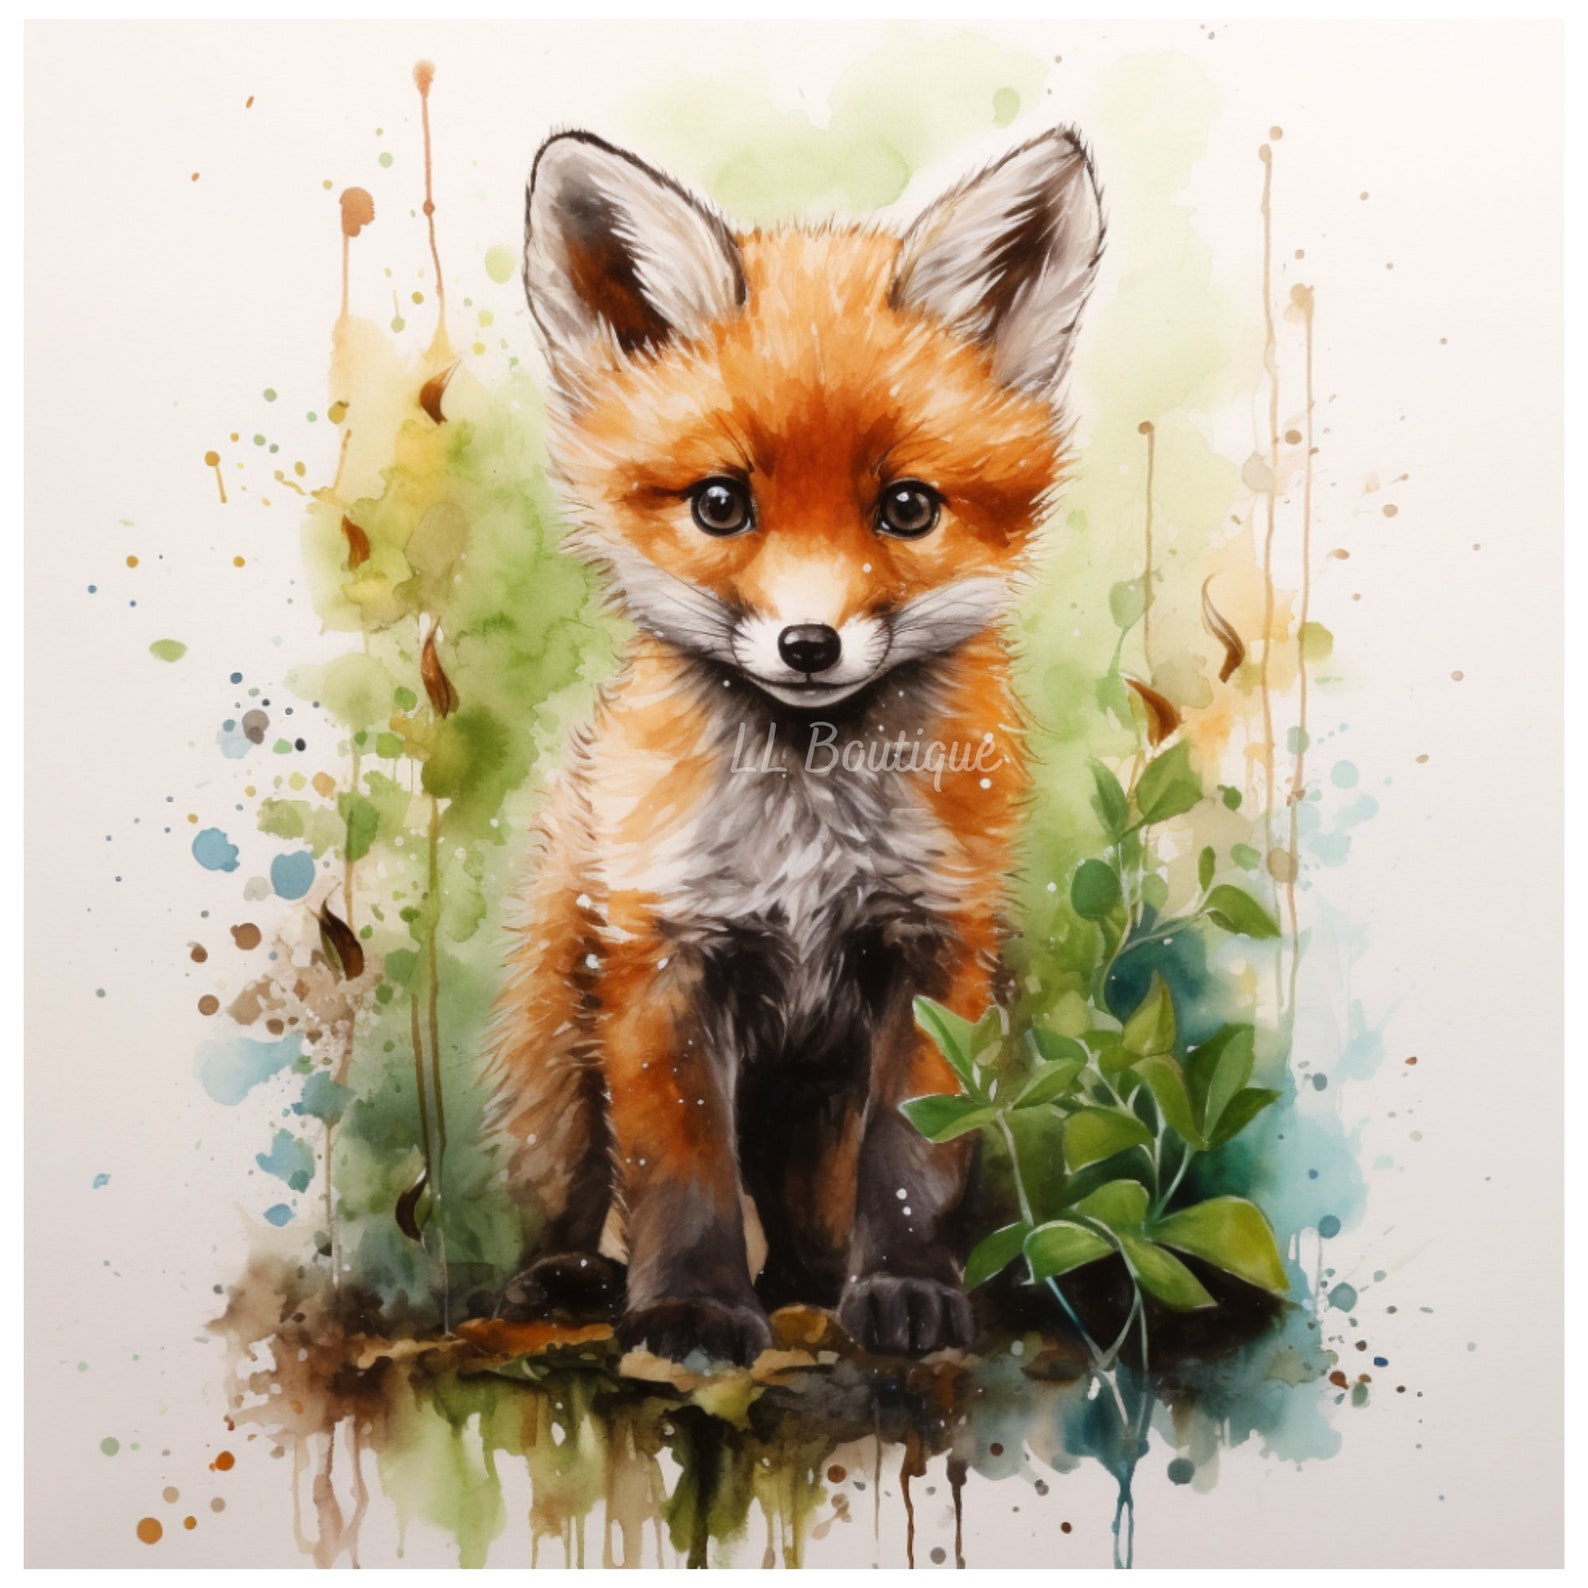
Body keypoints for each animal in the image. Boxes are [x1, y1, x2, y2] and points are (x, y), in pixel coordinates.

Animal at [486, 125, 1104, 1365]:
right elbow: (680, 1167)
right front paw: (688, 1309)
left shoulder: (934, 948)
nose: (809, 643)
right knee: (579, 1188)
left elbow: (909, 1161)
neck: (807, 826)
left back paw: (817, 1275)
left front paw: (905, 1288)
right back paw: (572, 1275)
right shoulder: (662, 954)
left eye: (906, 508)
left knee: (812, 1213)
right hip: (553, 1051)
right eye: (721, 503)